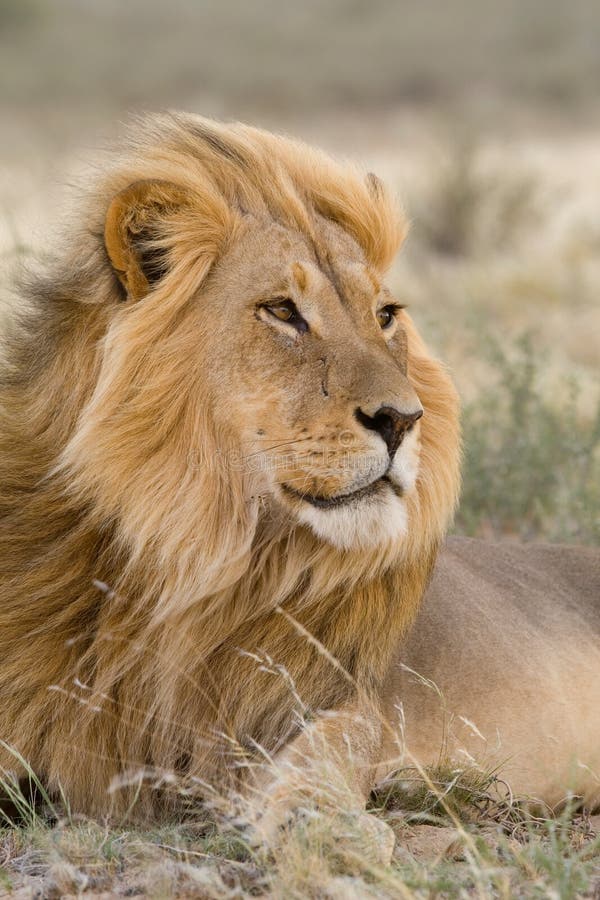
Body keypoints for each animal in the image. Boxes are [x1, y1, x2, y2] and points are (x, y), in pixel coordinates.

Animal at [0, 114, 596, 828]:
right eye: (283, 311)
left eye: (384, 316)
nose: (403, 419)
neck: (185, 557)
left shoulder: (330, 706)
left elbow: (318, 772)